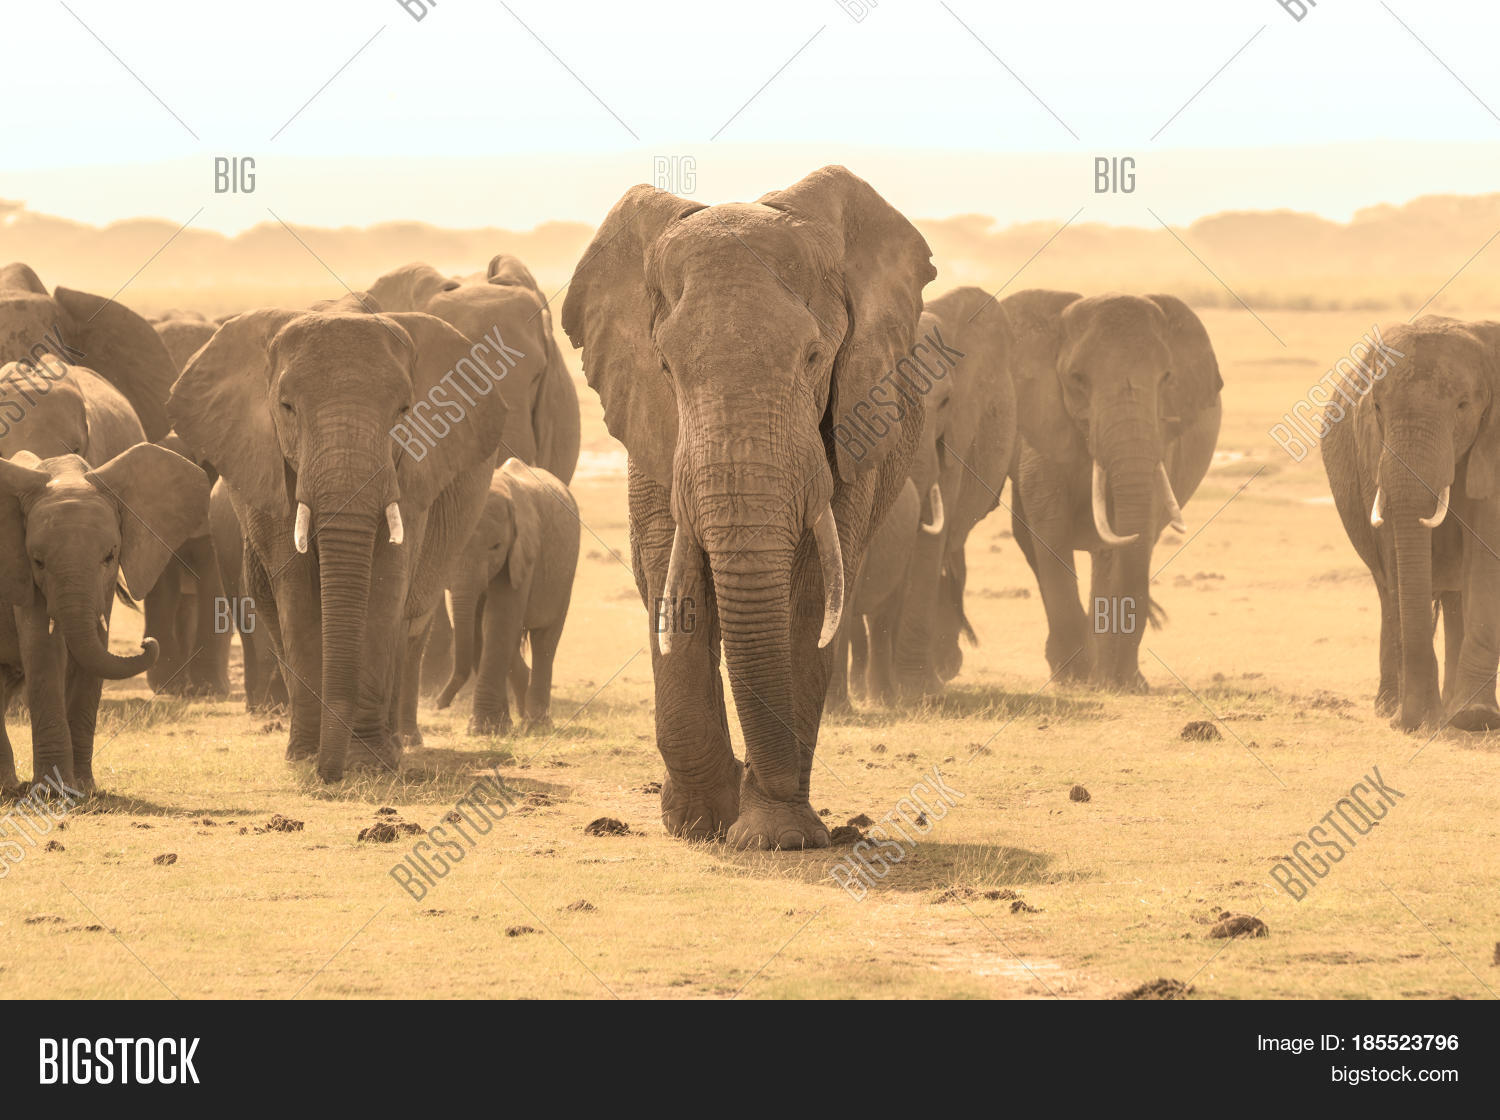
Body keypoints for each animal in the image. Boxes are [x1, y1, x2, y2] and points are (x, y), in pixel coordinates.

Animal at [0, 445, 208, 792]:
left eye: (110, 556)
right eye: (38, 562)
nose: (147, 641)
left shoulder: (105, 585)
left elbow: (93, 650)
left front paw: (83, 788)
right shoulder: (20, 572)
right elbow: (44, 651)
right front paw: (54, 792)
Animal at [169, 302, 522, 780]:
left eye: (405, 410)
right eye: (287, 407)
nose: (329, 774)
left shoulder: (412, 475)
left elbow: (385, 584)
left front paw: (367, 763)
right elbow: (296, 590)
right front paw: (307, 757)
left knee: (409, 625)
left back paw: (396, 745)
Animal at [434, 458, 580, 733]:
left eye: (496, 546)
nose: (439, 704)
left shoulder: (522, 552)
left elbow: (498, 618)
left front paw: (484, 729)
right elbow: (477, 625)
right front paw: (492, 728)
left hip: (566, 574)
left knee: (546, 639)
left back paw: (537, 723)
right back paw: (523, 712)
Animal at [1000, 290, 1222, 691]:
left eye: (1167, 377)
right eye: (1076, 378)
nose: (1126, 680)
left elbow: (1139, 527)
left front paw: (1123, 684)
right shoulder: (1040, 427)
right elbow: (1049, 527)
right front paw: (1074, 681)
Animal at [1323, 316, 1500, 732]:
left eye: (1463, 406)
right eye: (1376, 406)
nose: (1412, 722)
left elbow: (1486, 551)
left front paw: (1475, 718)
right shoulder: (1372, 452)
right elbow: (1394, 544)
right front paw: (1417, 719)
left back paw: (1452, 707)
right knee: (1387, 587)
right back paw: (1391, 706)